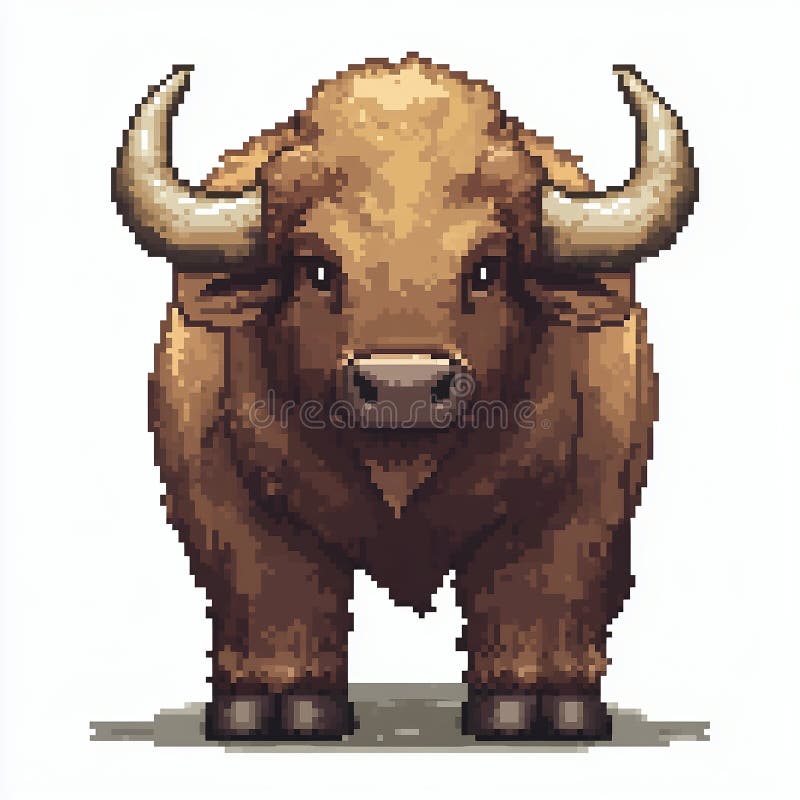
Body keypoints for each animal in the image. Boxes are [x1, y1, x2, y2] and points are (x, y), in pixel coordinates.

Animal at [113, 54, 696, 741]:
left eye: (487, 268)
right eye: (316, 268)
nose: (404, 390)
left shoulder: (577, 501)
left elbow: (540, 586)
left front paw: (539, 707)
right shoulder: (230, 498)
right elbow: (274, 585)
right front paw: (276, 707)